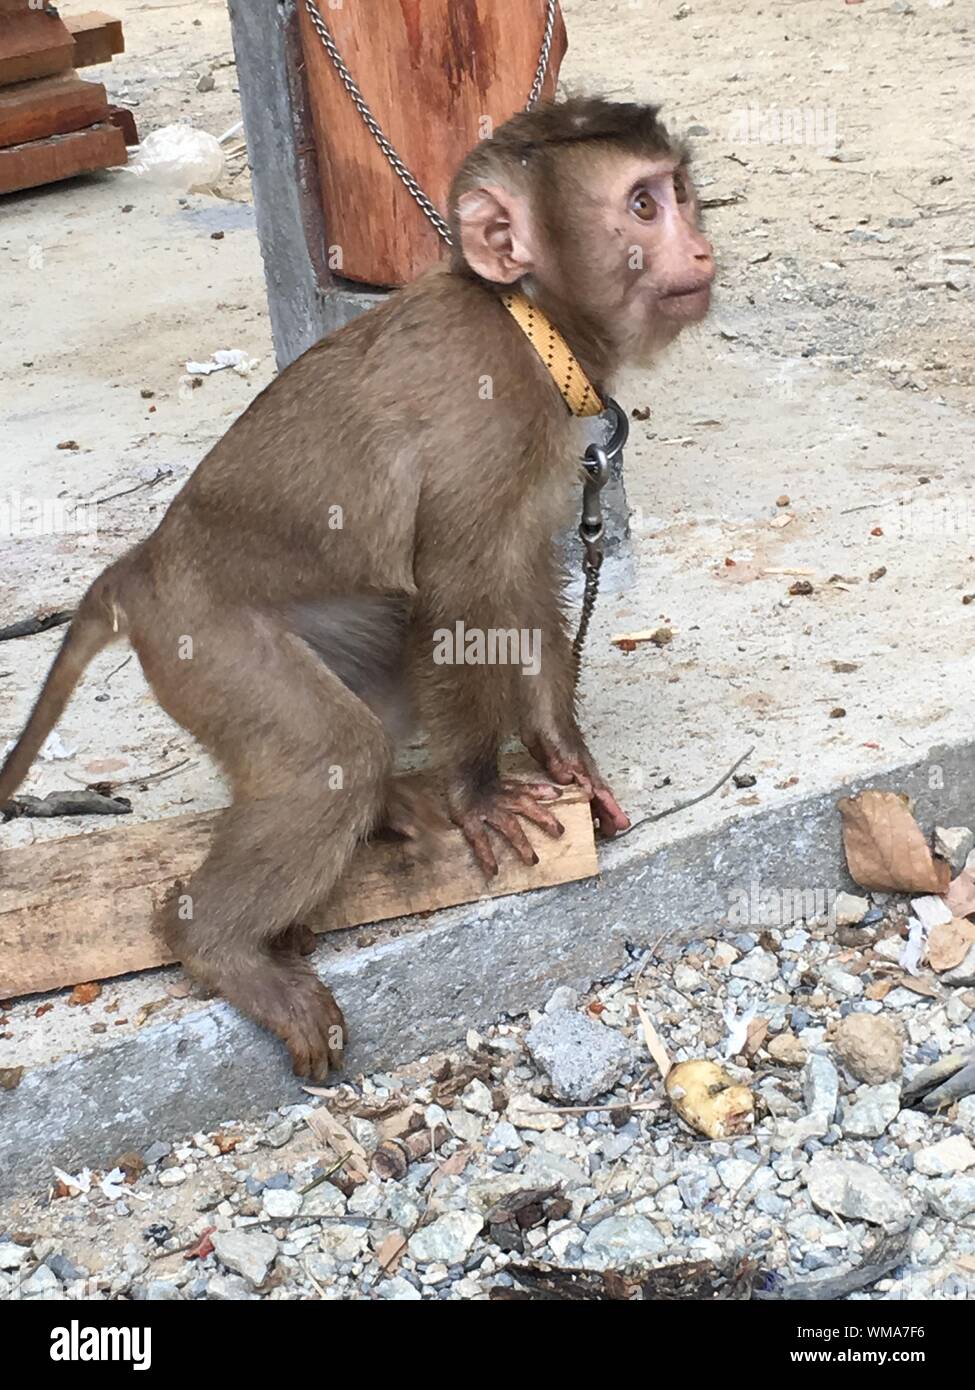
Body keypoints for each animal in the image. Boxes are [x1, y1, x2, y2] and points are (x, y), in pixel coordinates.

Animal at [0, 97, 714, 1080]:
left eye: (677, 192)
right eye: (642, 207)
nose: (701, 247)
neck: (527, 320)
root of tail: (141, 565)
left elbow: (525, 583)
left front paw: (563, 754)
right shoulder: (482, 413)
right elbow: (459, 589)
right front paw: (478, 790)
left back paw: (385, 815)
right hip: (201, 643)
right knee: (332, 756)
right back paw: (215, 943)